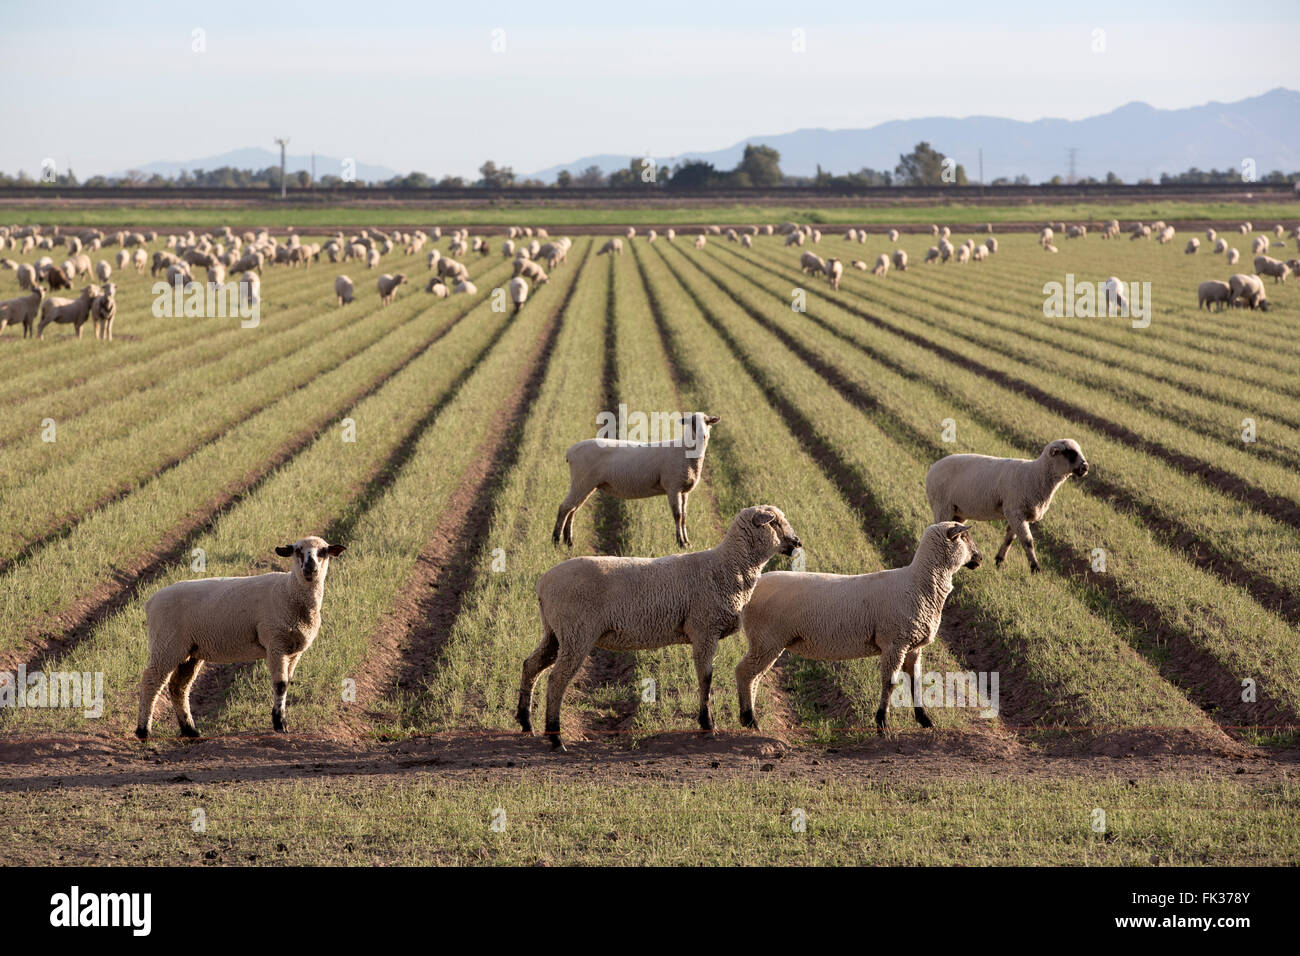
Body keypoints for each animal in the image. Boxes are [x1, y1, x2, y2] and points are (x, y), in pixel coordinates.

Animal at [136, 536, 346, 738]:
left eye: (323, 551)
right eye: (297, 551)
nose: (310, 568)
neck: (289, 591)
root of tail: (150, 601)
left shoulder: (293, 650)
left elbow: (287, 683)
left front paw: (280, 720)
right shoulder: (275, 643)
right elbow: (280, 685)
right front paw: (279, 724)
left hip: (190, 651)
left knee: (178, 687)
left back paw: (190, 731)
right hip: (166, 643)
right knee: (151, 681)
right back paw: (143, 731)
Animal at [519, 505, 801, 750]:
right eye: (775, 522)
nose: (797, 542)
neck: (729, 566)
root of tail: (543, 584)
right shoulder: (704, 629)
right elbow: (706, 678)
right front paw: (707, 725)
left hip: (554, 633)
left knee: (531, 665)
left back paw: (526, 723)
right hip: (576, 633)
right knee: (556, 679)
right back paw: (555, 738)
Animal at [553, 412, 719, 548]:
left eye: (707, 422)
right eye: (692, 422)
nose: (703, 436)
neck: (685, 451)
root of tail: (570, 452)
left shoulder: (684, 490)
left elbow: (684, 517)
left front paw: (687, 542)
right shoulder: (673, 486)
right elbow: (677, 515)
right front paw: (681, 543)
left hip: (586, 484)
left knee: (572, 510)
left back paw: (569, 542)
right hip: (582, 481)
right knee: (565, 508)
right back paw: (556, 541)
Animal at [737, 521, 981, 733]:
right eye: (965, 537)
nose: (979, 557)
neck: (920, 584)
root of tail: (753, 587)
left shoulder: (913, 647)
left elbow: (916, 683)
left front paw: (925, 720)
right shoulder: (894, 643)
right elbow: (889, 683)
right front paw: (882, 724)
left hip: (766, 641)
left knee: (755, 677)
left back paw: (750, 720)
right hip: (766, 639)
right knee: (745, 673)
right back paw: (750, 720)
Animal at [924, 439, 1089, 573]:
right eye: (1070, 453)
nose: (1086, 467)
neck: (1036, 475)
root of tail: (932, 468)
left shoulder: (1019, 515)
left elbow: (1010, 538)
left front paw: (999, 561)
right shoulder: (1015, 511)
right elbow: (1028, 541)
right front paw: (1035, 568)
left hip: (958, 512)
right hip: (942, 505)